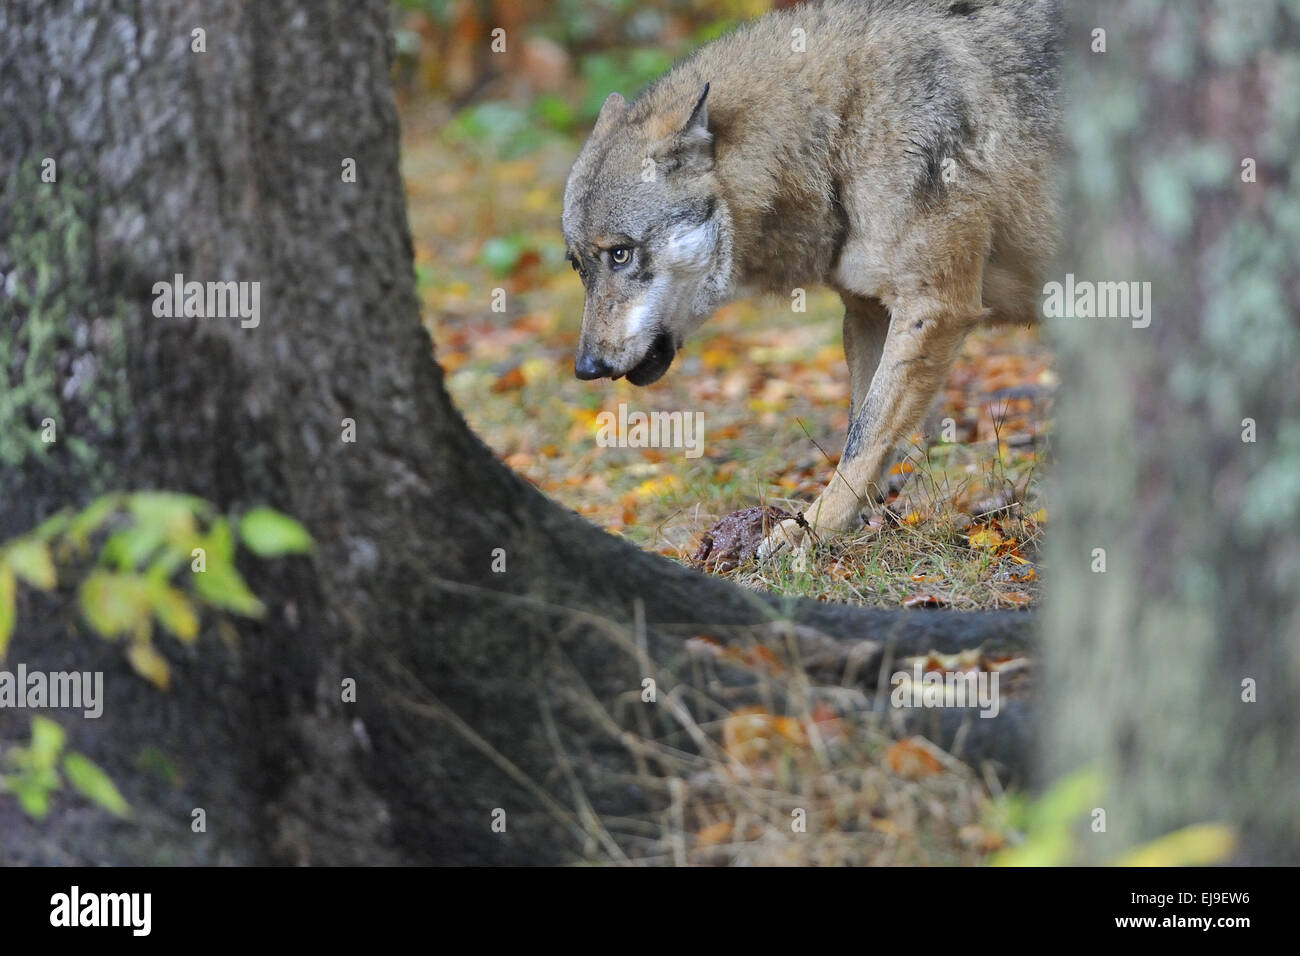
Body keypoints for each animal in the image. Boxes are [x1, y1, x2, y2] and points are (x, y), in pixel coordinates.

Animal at [561, 0, 1062, 558]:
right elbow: (860, 432)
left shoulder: (933, 309)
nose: (585, 368)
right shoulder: (867, 313)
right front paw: (851, 525)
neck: (840, 133)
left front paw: (811, 529)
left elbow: (866, 433)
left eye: (621, 254)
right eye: (577, 266)